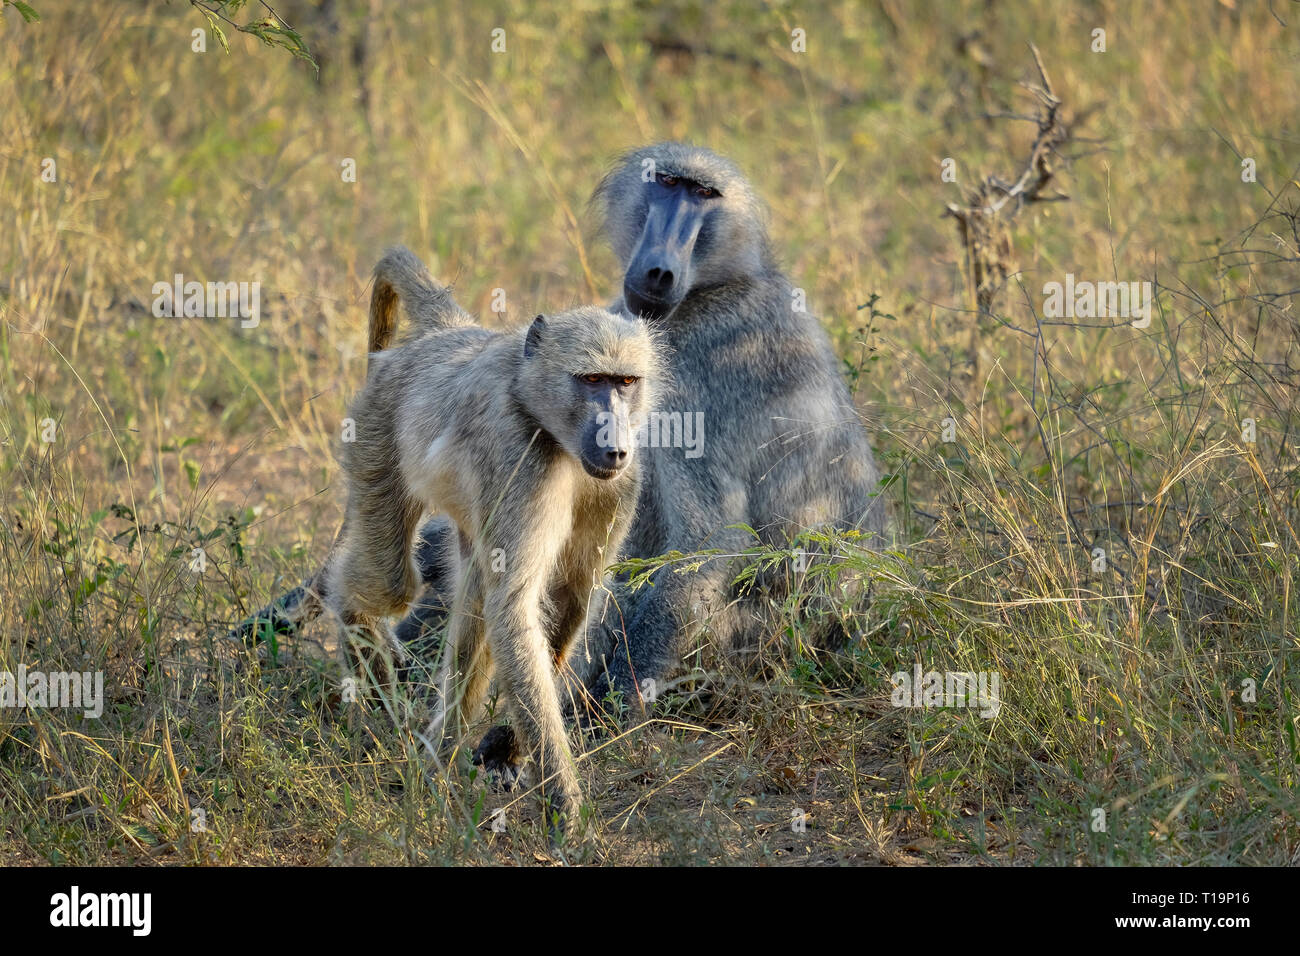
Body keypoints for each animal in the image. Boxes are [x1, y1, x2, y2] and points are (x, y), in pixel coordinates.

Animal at [299, 245, 661, 828]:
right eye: (590, 380)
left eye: (626, 383)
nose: (613, 445)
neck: (546, 424)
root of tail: (444, 337)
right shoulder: (515, 456)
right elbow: (513, 606)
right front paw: (566, 809)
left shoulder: (620, 485)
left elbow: (566, 597)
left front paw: (511, 748)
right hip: (374, 429)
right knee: (394, 583)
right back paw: (363, 646)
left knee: (473, 612)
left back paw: (435, 761)